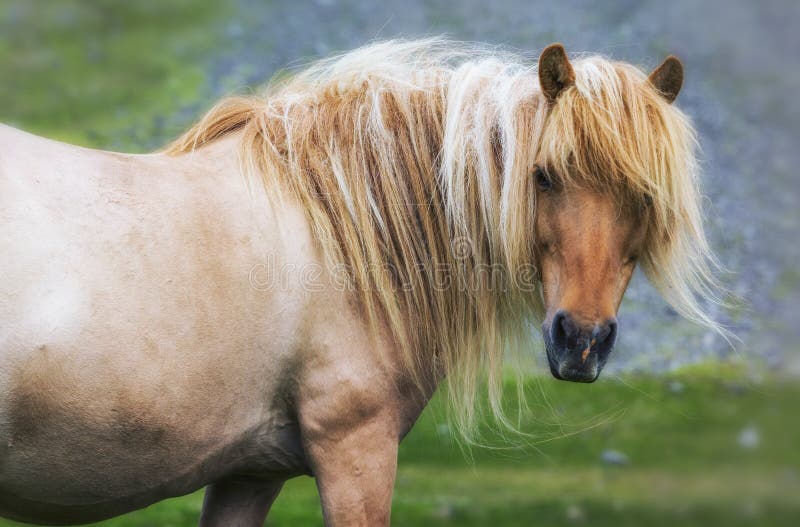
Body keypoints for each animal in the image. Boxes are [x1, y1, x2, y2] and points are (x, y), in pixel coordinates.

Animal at [0, 39, 722, 525]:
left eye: (646, 196)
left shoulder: (246, 474)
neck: (347, 234)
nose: (581, 342)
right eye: (542, 175)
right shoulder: (356, 452)